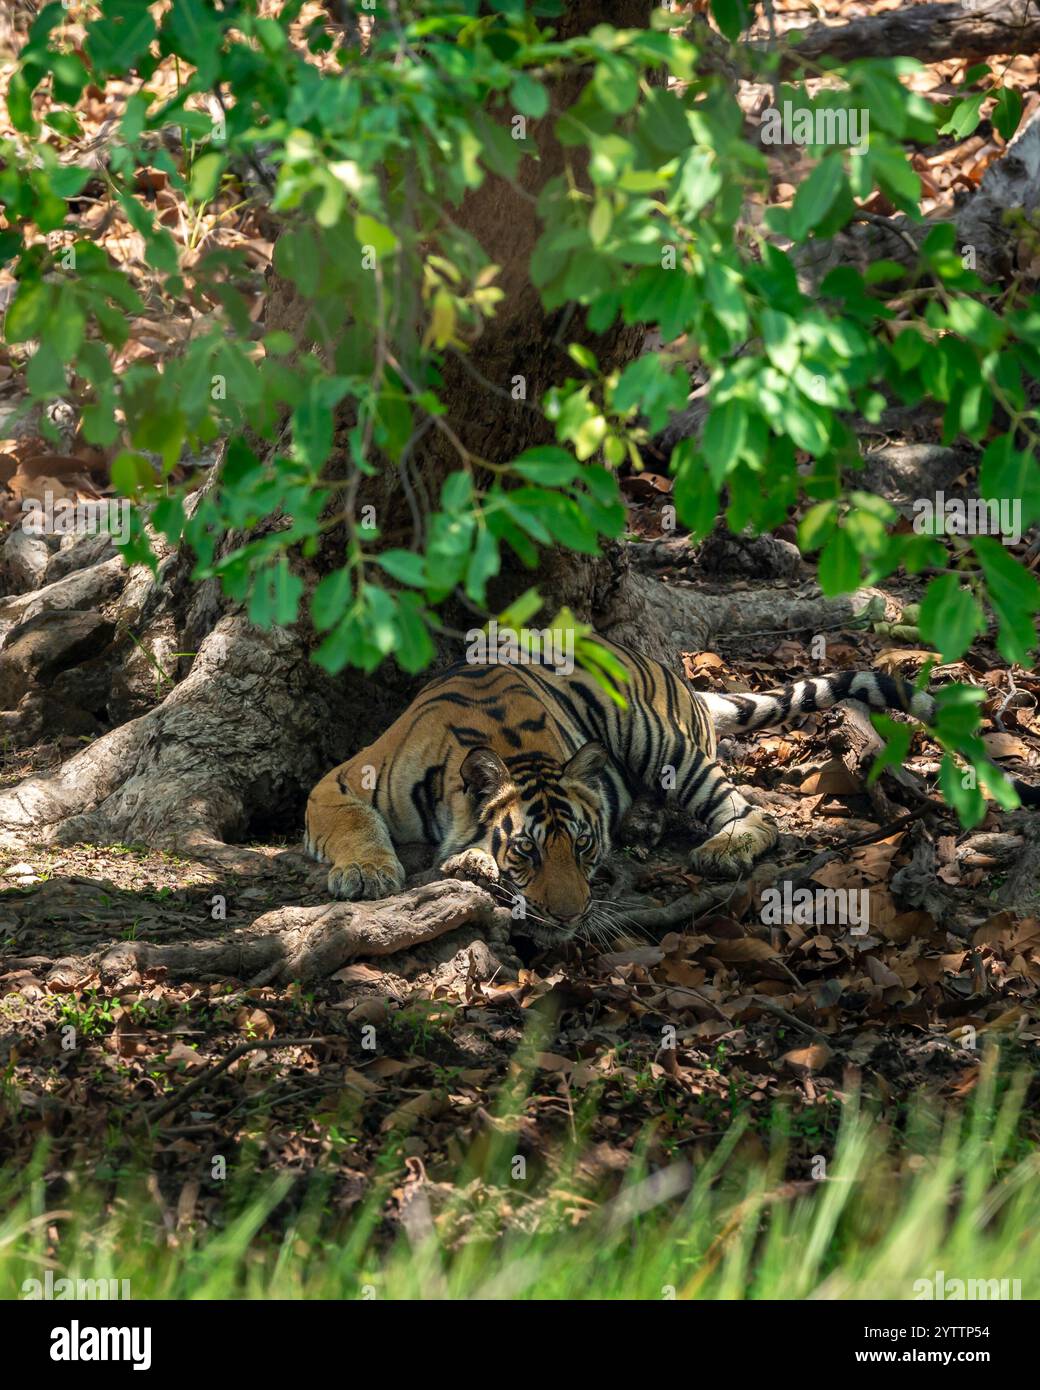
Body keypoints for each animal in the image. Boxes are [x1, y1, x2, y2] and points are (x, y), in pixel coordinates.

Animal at [304, 638, 1038, 945]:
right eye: (528, 852)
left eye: (583, 848)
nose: (572, 918)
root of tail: (679, 679)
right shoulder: (339, 779)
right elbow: (352, 821)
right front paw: (368, 873)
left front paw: (460, 859)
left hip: (657, 742)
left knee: (753, 812)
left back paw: (721, 848)